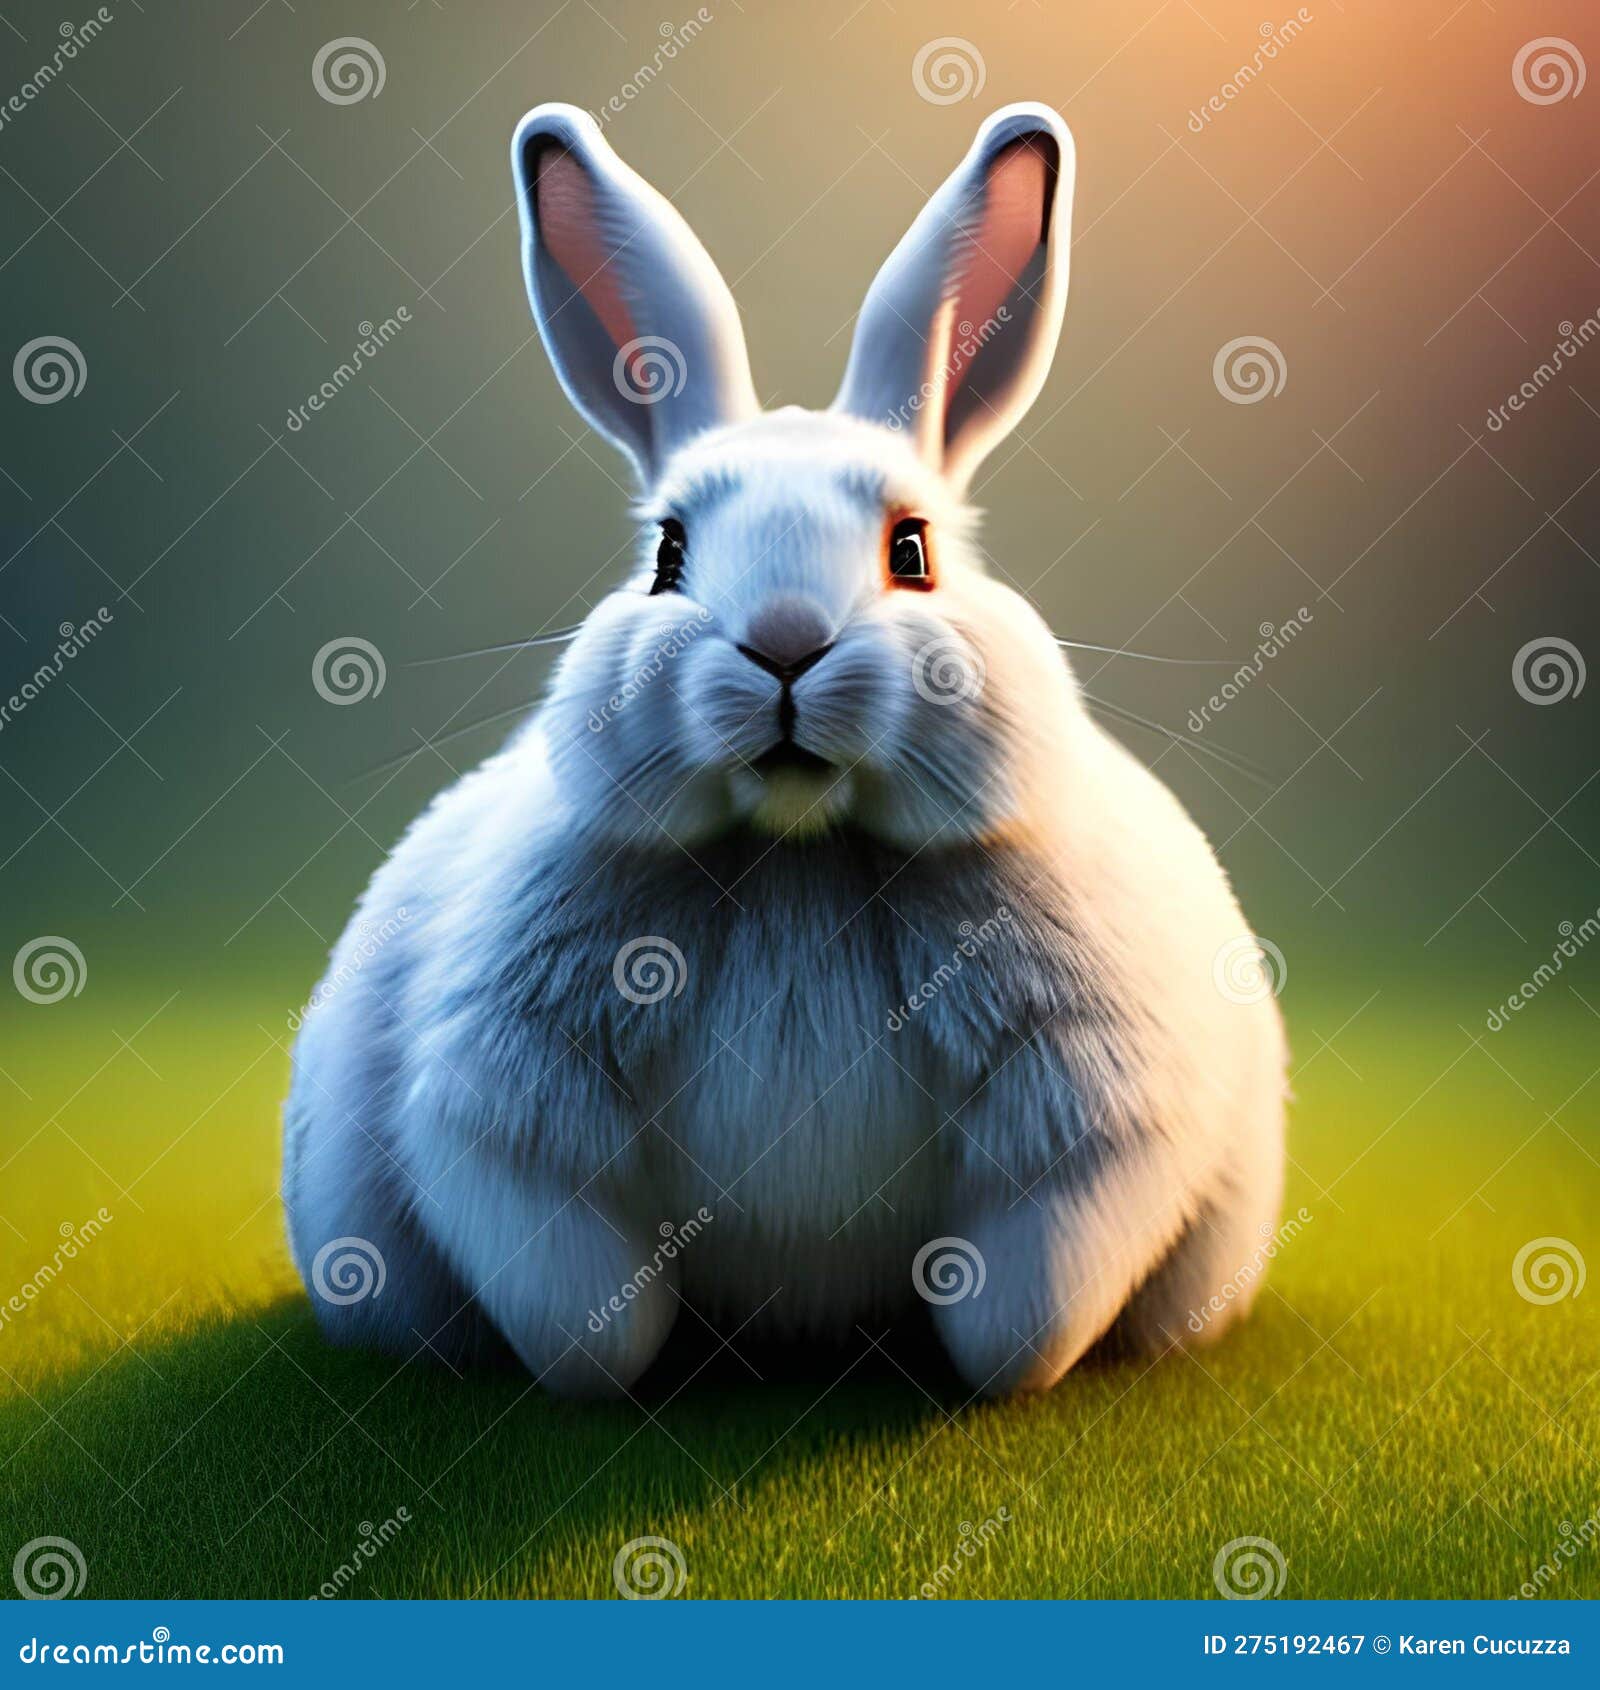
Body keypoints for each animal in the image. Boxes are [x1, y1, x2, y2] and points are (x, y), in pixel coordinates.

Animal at [283, 99, 1287, 1400]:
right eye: (668, 554)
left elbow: (1028, 1296)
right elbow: (575, 1304)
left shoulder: (1089, 1097)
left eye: (913, 550)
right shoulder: (506, 1096)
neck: (797, 849)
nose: (784, 644)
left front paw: (985, 1360)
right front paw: (615, 1366)